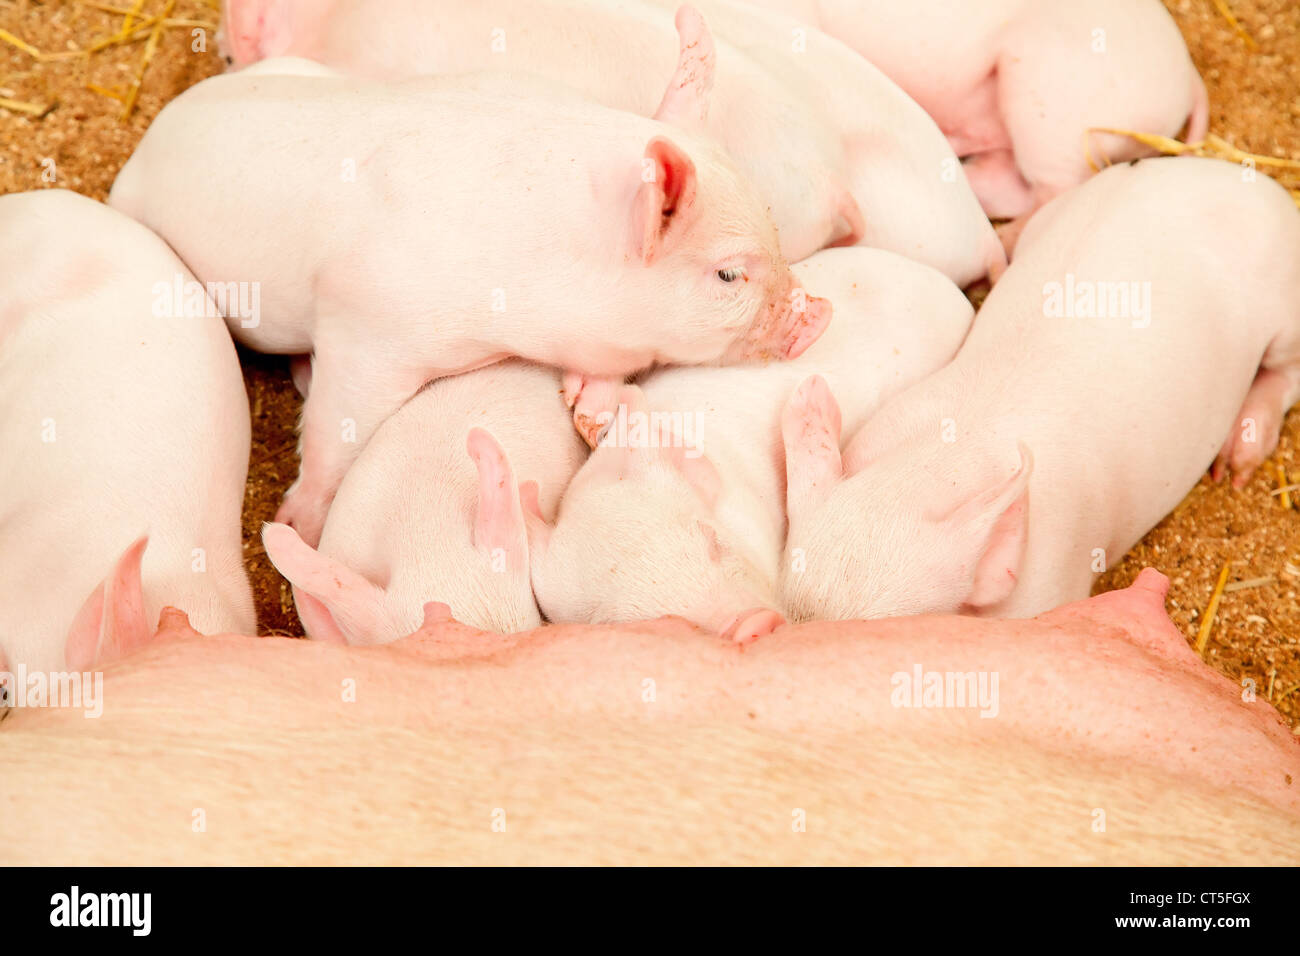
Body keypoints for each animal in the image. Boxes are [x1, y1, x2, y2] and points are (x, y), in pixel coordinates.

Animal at [108, 44, 830, 549]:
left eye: (768, 218)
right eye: (728, 276)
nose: (818, 315)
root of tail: (150, 138)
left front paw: (590, 407)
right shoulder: (368, 331)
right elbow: (337, 432)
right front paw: (294, 529)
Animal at [780, 157, 1300, 623]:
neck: (931, 472)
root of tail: (1232, 175)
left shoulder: (1054, 578)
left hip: (1284, 305)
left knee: (1286, 370)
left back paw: (1236, 464)